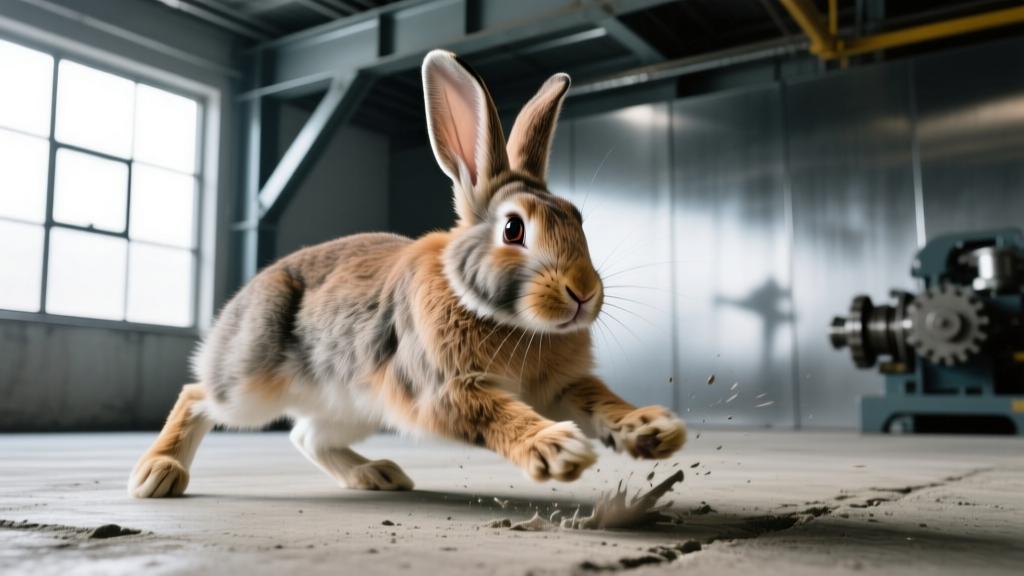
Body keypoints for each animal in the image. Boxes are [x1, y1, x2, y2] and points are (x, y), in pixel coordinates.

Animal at [128, 49, 686, 498]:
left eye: (577, 219)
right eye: (513, 229)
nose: (583, 293)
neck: (498, 314)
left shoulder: (562, 387)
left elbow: (599, 400)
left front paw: (653, 428)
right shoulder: (441, 387)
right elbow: (496, 413)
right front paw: (555, 448)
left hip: (351, 407)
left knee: (304, 435)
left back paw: (376, 475)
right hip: (251, 384)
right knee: (198, 396)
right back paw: (157, 474)